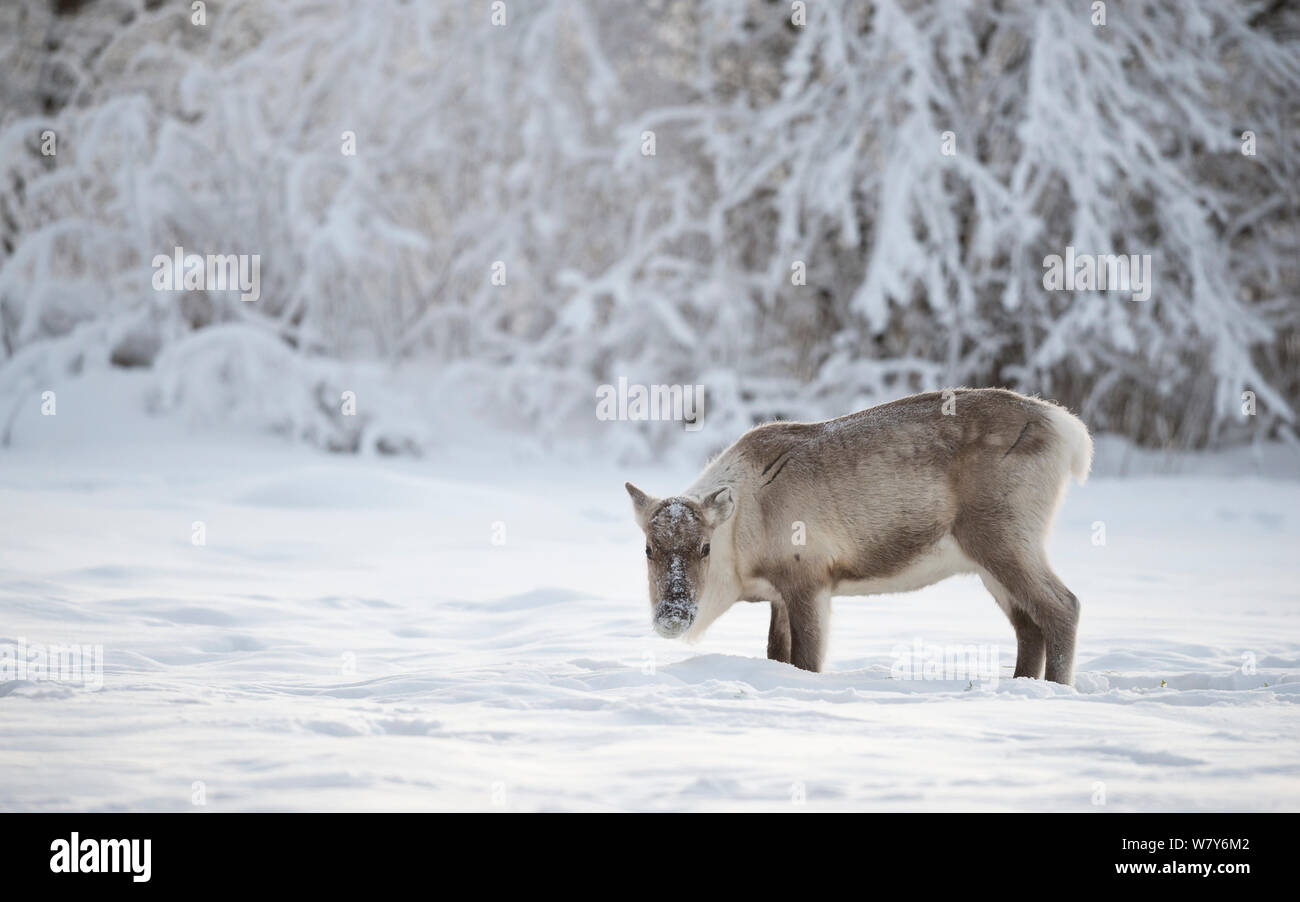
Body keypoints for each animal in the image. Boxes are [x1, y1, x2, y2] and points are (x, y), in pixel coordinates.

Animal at [625, 388, 1092, 685]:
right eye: (648, 548)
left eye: (705, 546)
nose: (673, 613)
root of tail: (1068, 431)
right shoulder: (778, 593)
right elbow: (777, 654)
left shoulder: (809, 578)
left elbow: (807, 660)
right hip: (987, 561)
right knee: (1029, 625)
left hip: (1005, 537)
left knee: (1063, 606)